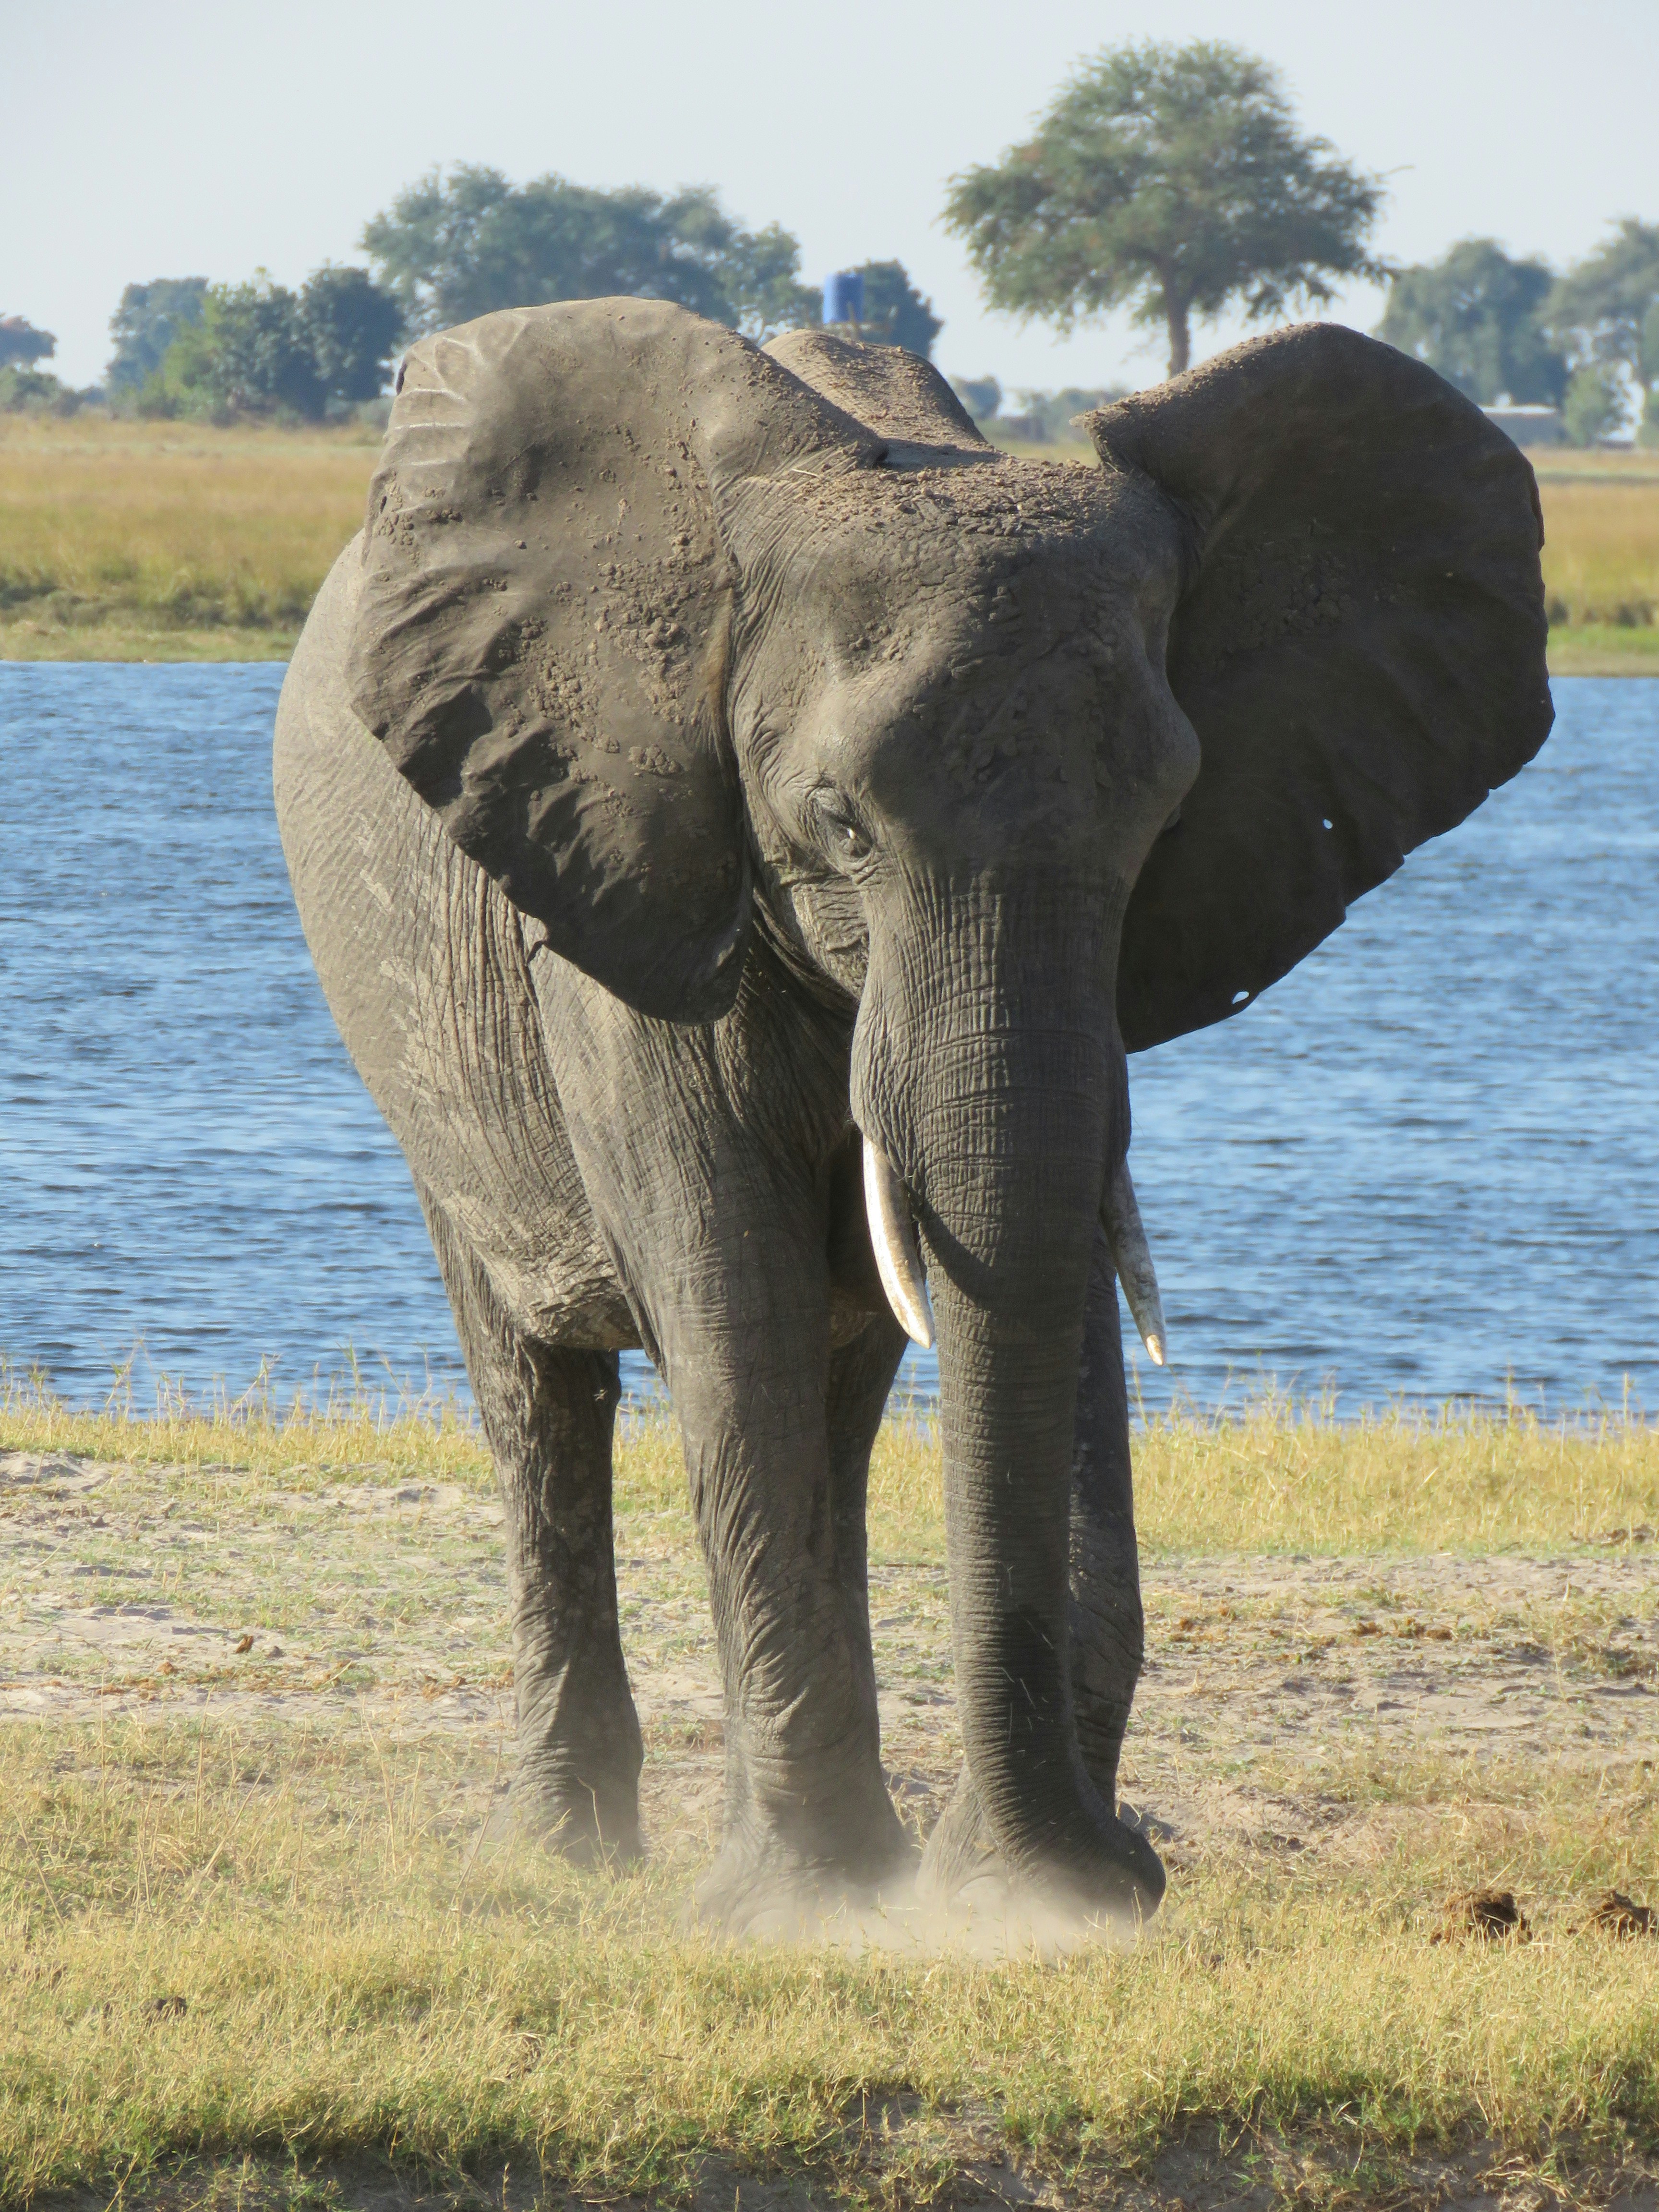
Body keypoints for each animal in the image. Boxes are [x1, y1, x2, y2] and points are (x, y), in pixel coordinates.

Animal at [273, 300, 1550, 1930]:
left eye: (1164, 821)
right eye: (836, 820)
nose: (1078, 1865)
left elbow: (1049, 1257)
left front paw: (1011, 1903)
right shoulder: (632, 852)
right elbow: (729, 1284)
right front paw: (801, 1915)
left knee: (845, 1395)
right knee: (540, 1391)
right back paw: (566, 1855)